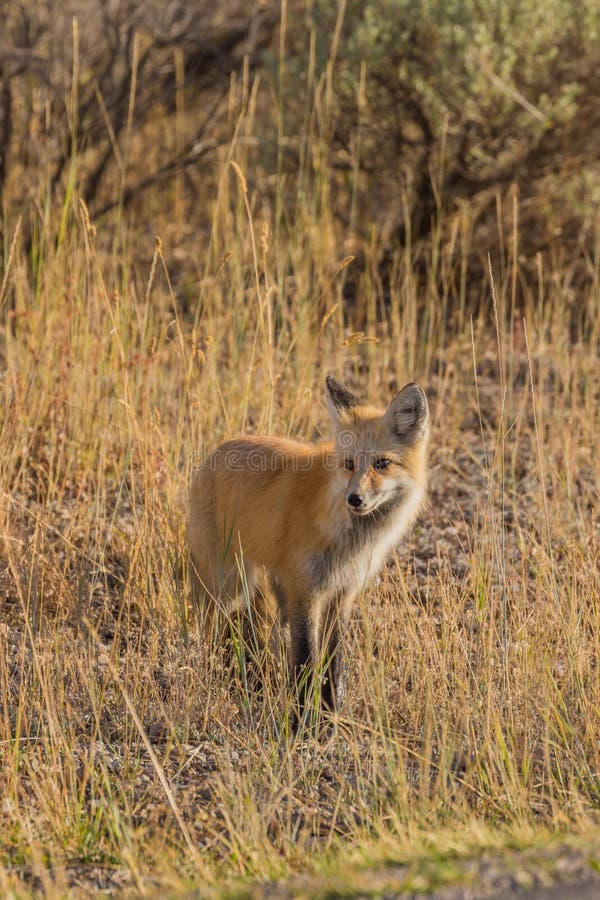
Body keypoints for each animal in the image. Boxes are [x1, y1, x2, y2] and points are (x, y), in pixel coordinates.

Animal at [188, 375, 429, 721]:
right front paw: (303, 721)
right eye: (349, 464)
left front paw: (331, 715)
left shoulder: (341, 594)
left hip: (270, 588)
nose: (354, 499)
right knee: (207, 624)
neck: (349, 541)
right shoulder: (305, 591)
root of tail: (216, 450)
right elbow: (306, 663)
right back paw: (209, 671)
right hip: (229, 585)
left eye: (382, 463)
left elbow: (333, 665)